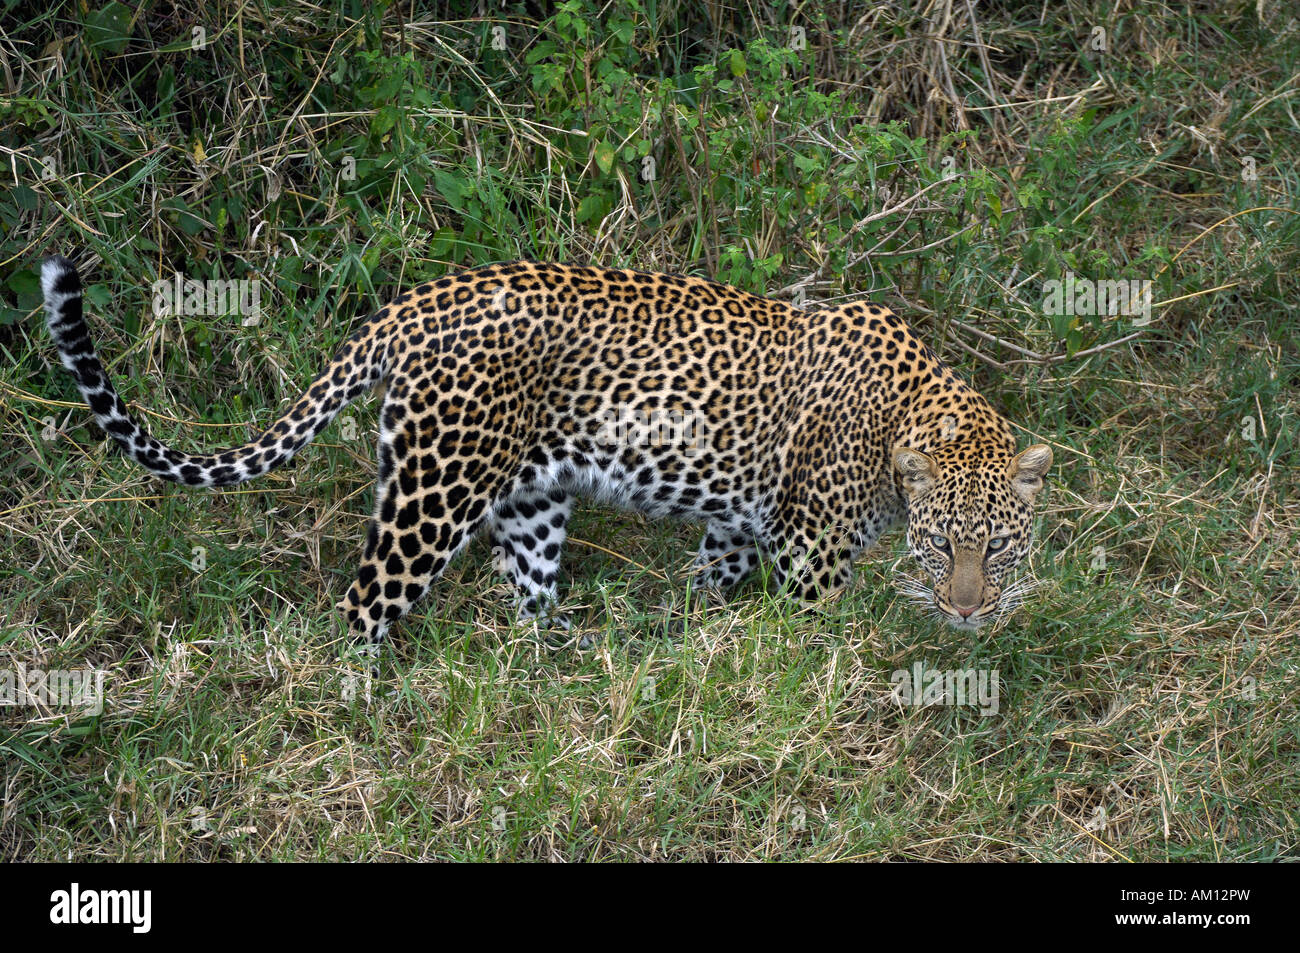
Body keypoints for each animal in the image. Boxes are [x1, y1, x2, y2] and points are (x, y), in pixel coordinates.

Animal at [40, 254, 1052, 653]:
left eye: (1001, 546)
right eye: (944, 542)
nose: (970, 610)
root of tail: (409, 307)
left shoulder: (739, 526)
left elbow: (712, 579)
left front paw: (693, 637)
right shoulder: (813, 553)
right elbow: (815, 637)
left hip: (528, 498)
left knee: (526, 594)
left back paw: (557, 657)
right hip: (435, 489)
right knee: (362, 604)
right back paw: (366, 701)